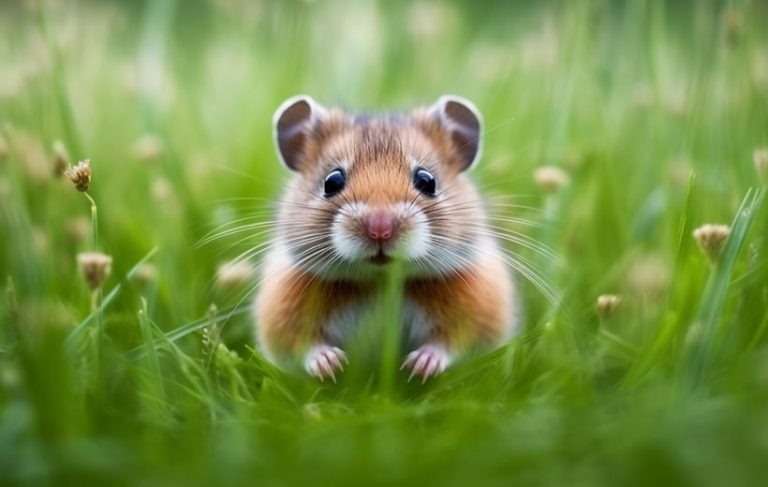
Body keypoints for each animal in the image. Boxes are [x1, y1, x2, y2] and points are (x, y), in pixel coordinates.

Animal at [254, 95, 517, 382]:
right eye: (331, 181)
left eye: (427, 180)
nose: (380, 228)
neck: (381, 280)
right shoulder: (285, 318)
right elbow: (306, 346)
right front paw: (331, 365)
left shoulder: (475, 314)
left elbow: (447, 343)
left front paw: (419, 367)